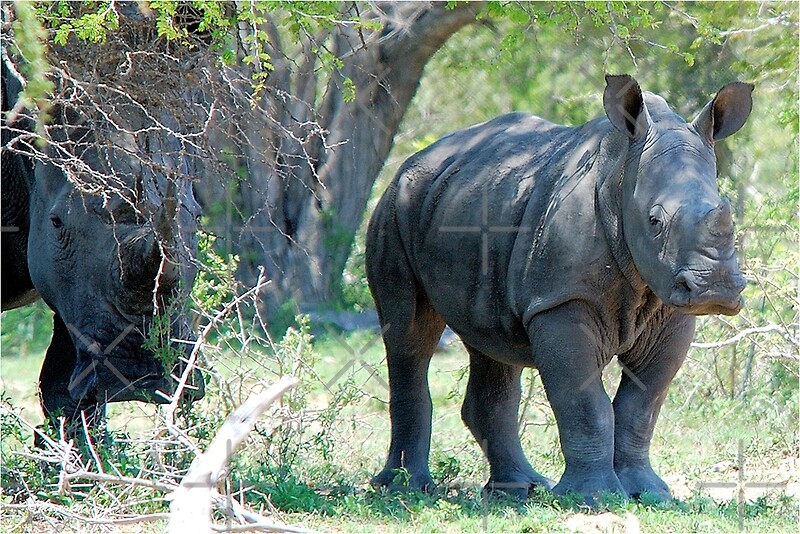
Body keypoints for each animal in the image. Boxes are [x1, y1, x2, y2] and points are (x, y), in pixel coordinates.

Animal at [366, 74, 752, 503]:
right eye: (654, 221)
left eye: (728, 212)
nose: (715, 288)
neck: (621, 175)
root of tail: (409, 163)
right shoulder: (560, 301)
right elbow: (585, 402)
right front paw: (593, 498)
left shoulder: (670, 310)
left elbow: (641, 404)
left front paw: (648, 493)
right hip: (395, 209)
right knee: (409, 338)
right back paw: (403, 488)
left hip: (474, 205)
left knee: (493, 346)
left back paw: (518, 489)